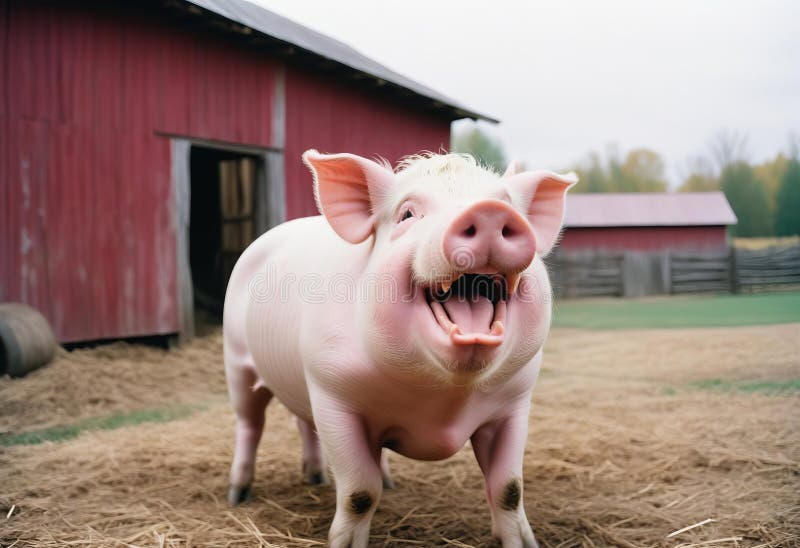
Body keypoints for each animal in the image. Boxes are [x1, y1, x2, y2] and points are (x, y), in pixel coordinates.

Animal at [223, 150, 577, 548]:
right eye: (407, 214)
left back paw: (325, 479)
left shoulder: (514, 401)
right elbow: (359, 493)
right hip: (236, 361)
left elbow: (509, 489)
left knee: (303, 422)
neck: (445, 401)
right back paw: (238, 495)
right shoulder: (330, 390)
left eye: (507, 204)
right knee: (250, 423)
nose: (488, 212)